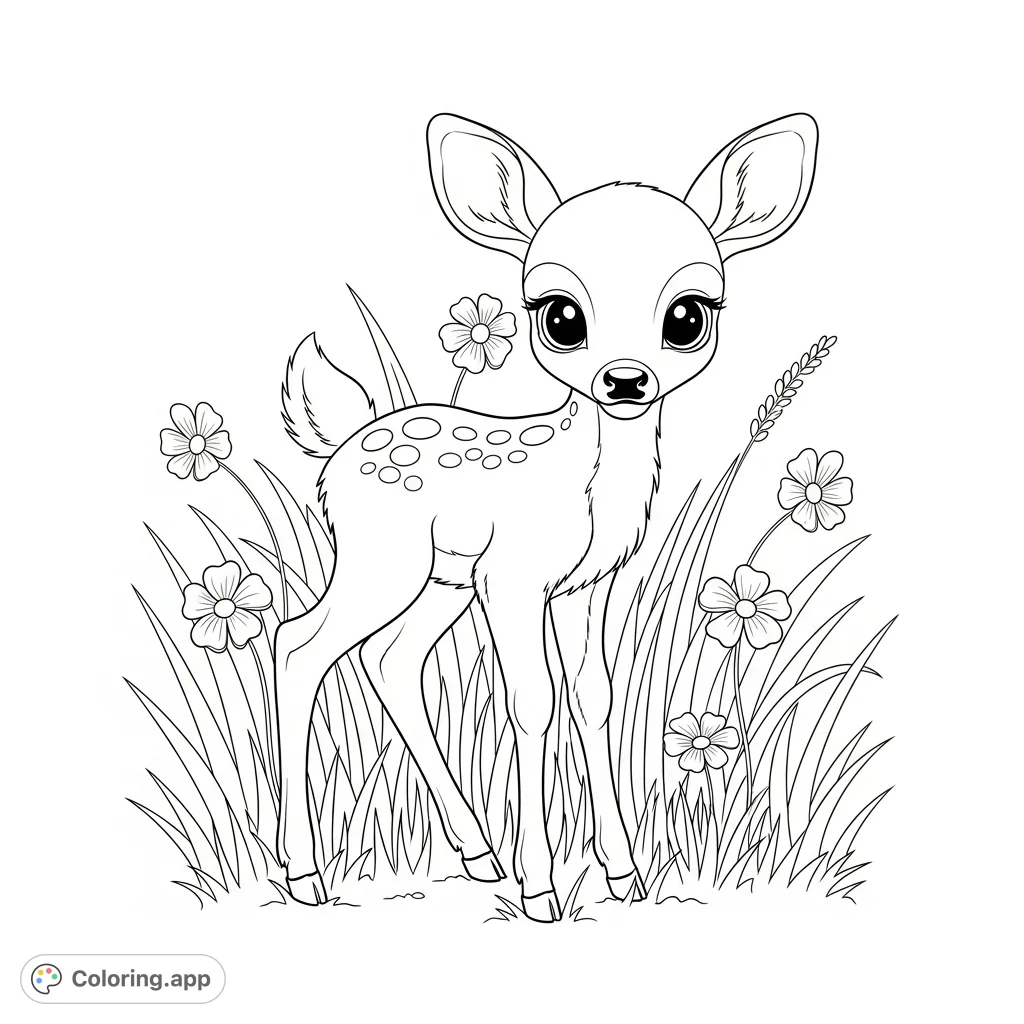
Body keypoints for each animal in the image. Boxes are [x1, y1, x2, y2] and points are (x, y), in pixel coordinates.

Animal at [275, 112, 818, 921]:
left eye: (687, 316)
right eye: (561, 316)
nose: (625, 380)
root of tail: (335, 449)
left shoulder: (581, 588)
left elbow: (593, 698)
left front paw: (624, 876)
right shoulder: (514, 578)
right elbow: (530, 702)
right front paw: (541, 889)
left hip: (442, 578)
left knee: (389, 659)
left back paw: (477, 855)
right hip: (386, 562)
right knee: (298, 645)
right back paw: (308, 875)